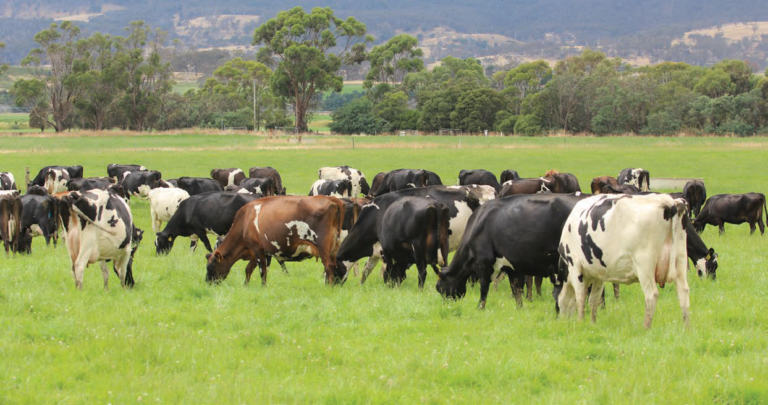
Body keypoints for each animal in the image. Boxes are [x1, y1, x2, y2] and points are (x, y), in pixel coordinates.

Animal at [205, 196, 345, 285]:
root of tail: (330, 198)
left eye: (211, 268)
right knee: (333, 266)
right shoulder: (254, 252)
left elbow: (262, 271)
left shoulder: (257, 248)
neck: (245, 220)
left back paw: (328, 287)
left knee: (328, 266)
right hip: (334, 248)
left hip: (322, 247)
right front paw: (245, 285)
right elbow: (248, 269)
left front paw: (263, 287)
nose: (207, 283)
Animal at [436, 193, 590, 309]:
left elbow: (484, 288)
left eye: (440, 288)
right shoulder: (511, 267)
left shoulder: (484, 261)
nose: (446, 306)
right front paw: (519, 308)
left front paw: (480, 307)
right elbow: (516, 290)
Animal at [556, 194, 689, 328]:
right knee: (683, 291)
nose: (561, 320)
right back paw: (686, 328)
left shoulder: (575, 266)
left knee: (651, 294)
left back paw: (646, 328)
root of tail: (667, 200)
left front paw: (581, 323)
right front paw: (593, 323)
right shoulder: (599, 273)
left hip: (644, 263)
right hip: (681, 258)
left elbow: (580, 298)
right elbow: (594, 299)